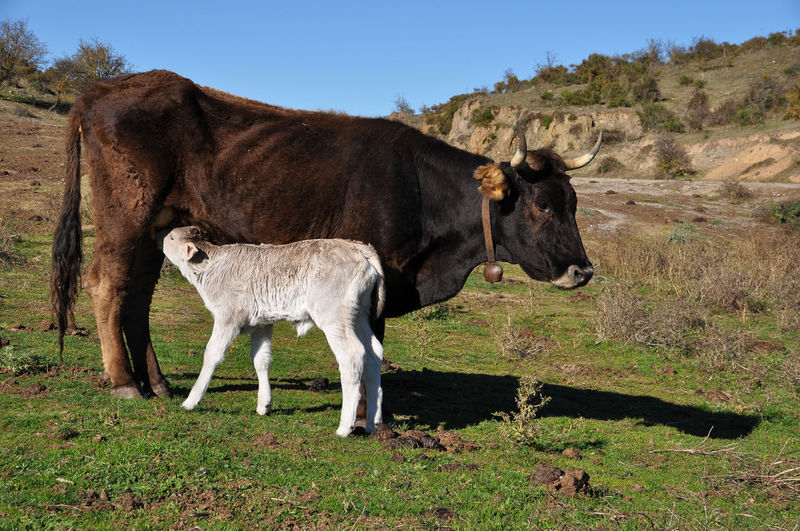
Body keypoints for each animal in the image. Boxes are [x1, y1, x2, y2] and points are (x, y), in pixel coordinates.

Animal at [51, 70, 599, 399]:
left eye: (573, 203)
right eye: (542, 205)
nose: (583, 270)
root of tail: (99, 91)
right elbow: (370, 347)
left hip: (157, 226)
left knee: (138, 295)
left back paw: (158, 383)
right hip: (126, 214)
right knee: (107, 283)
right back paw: (124, 382)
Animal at [158, 226, 385, 436]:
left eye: (172, 237)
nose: (161, 236)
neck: (211, 267)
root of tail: (357, 247)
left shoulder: (227, 317)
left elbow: (212, 355)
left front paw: (191, 401)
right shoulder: (262, 323)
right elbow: (260, 359)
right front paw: (264, 405)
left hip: (333, 318)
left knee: (352, 357)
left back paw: (345, 426)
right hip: (358, 315)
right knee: (374, 354)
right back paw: (372, 423)